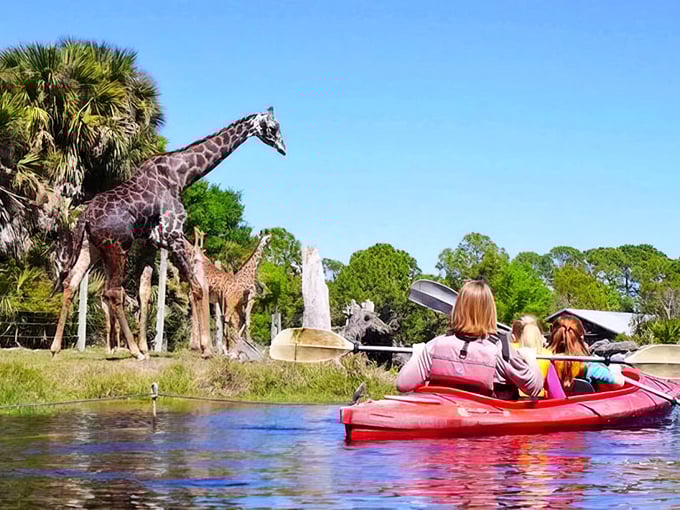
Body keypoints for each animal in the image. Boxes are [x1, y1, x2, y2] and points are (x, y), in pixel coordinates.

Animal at [50, 108, 286, 359]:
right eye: (273, 127)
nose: (283, 148)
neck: (180, 175)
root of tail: (84, 217)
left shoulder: (152, 242)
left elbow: (145, 292)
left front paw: (152, 346)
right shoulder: (173, 234)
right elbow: (197, 287)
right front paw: (206, 349)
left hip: (91, 248)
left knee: (71, 283)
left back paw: (56, 349)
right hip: (116, 248)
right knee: (112, 292)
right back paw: (135, 352)